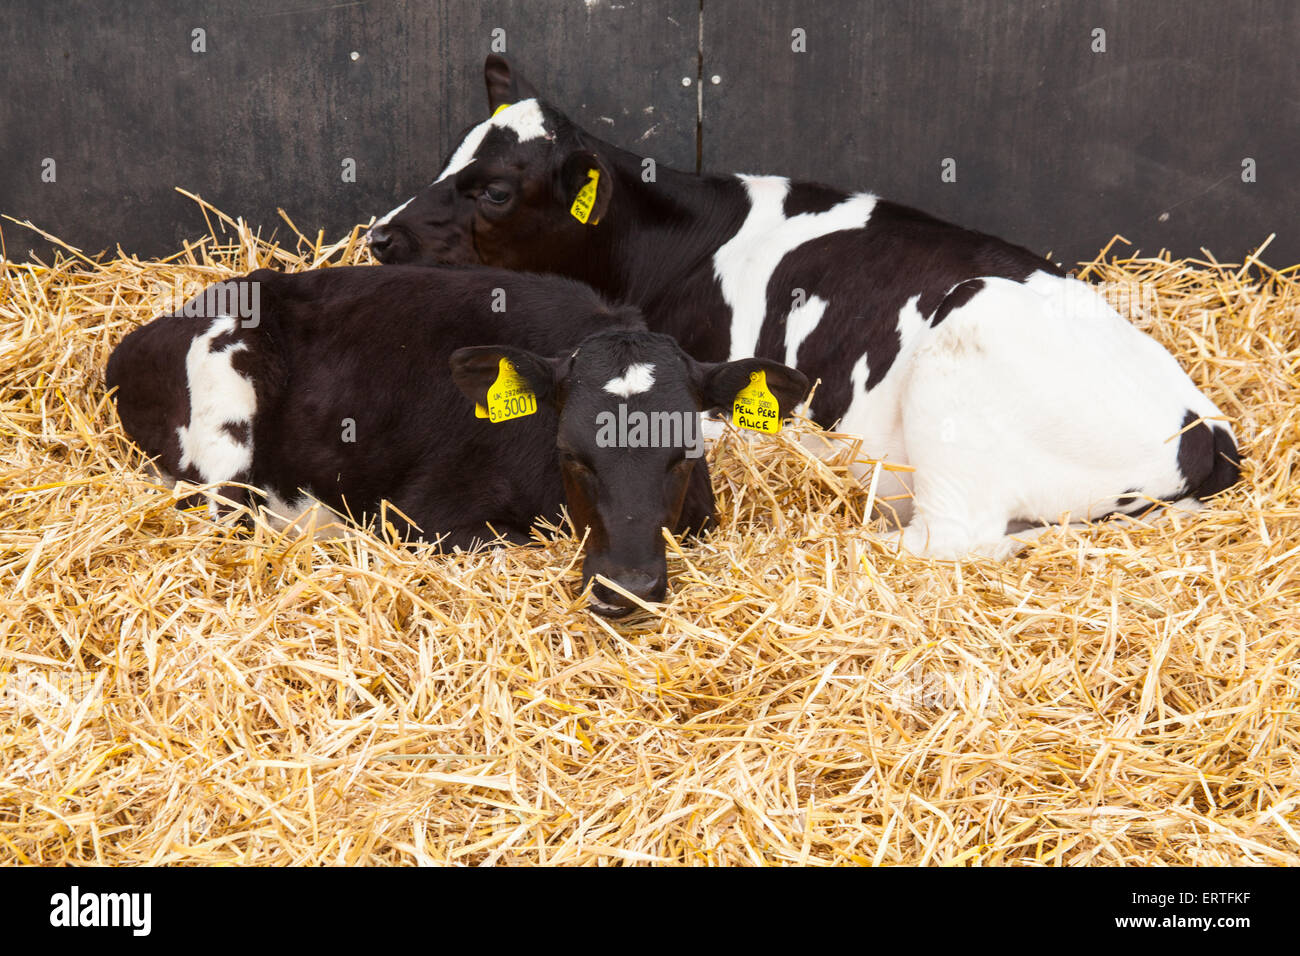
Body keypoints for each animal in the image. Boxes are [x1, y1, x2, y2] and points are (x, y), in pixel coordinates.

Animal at [367, 55, 1241, 560]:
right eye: (448, 160)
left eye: (495, 191)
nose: (379, 237)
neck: (672, 243)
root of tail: (1205, 428)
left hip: (963, 355)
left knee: (950, 538)